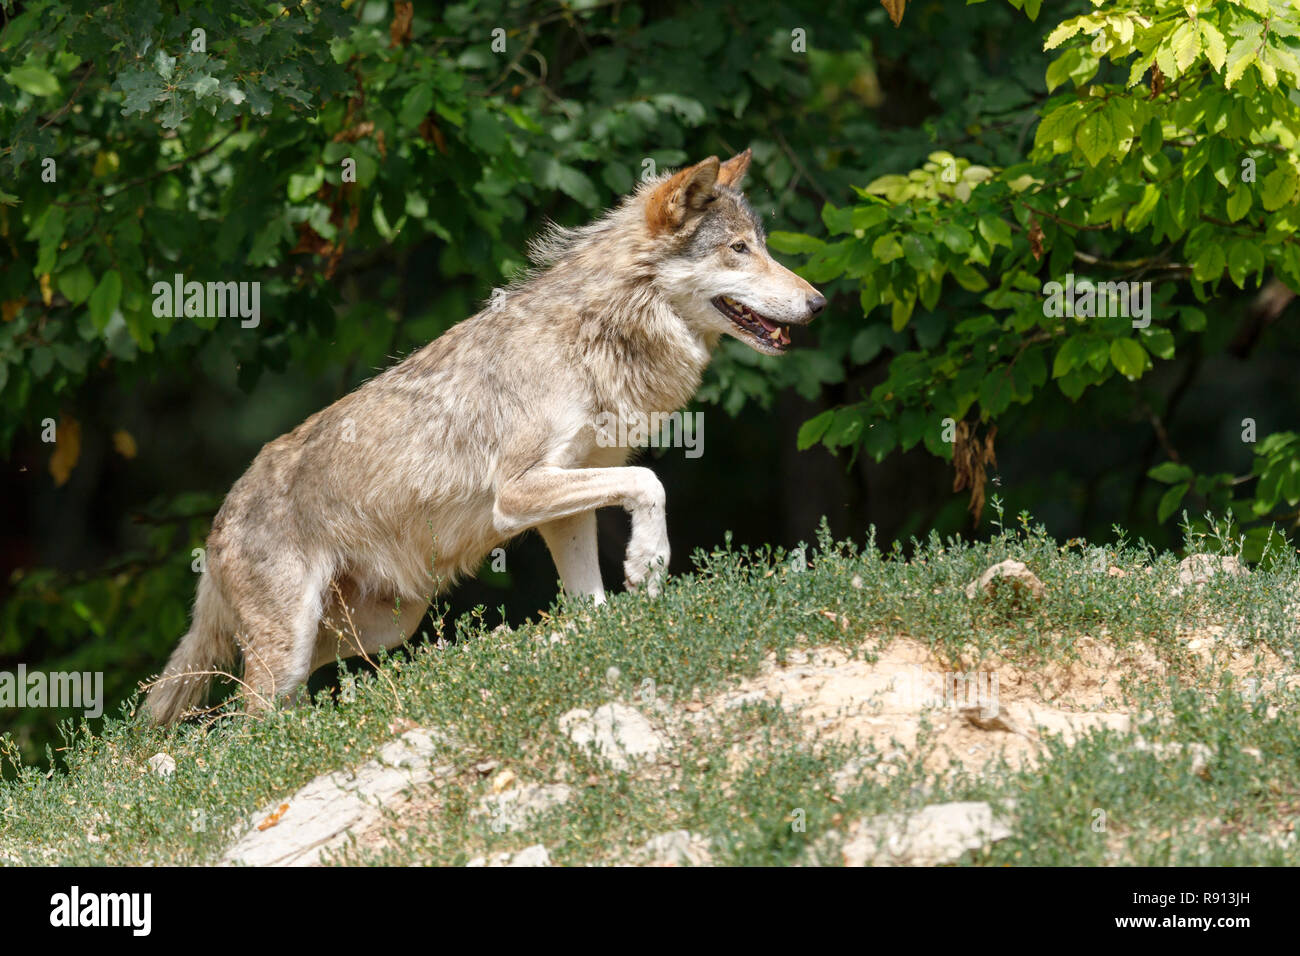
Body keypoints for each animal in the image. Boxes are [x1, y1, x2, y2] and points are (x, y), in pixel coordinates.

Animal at [146, 149, 825, 724]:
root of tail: (220, 516)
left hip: (382, 626)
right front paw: (648, 561)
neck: (596, 334)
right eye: (739, 249)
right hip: (293, 650)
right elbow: (649, 480)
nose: (819, 302)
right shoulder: (518, 494)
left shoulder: (563, 504)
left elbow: (591, 594)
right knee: (239, 723)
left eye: (762, 247)